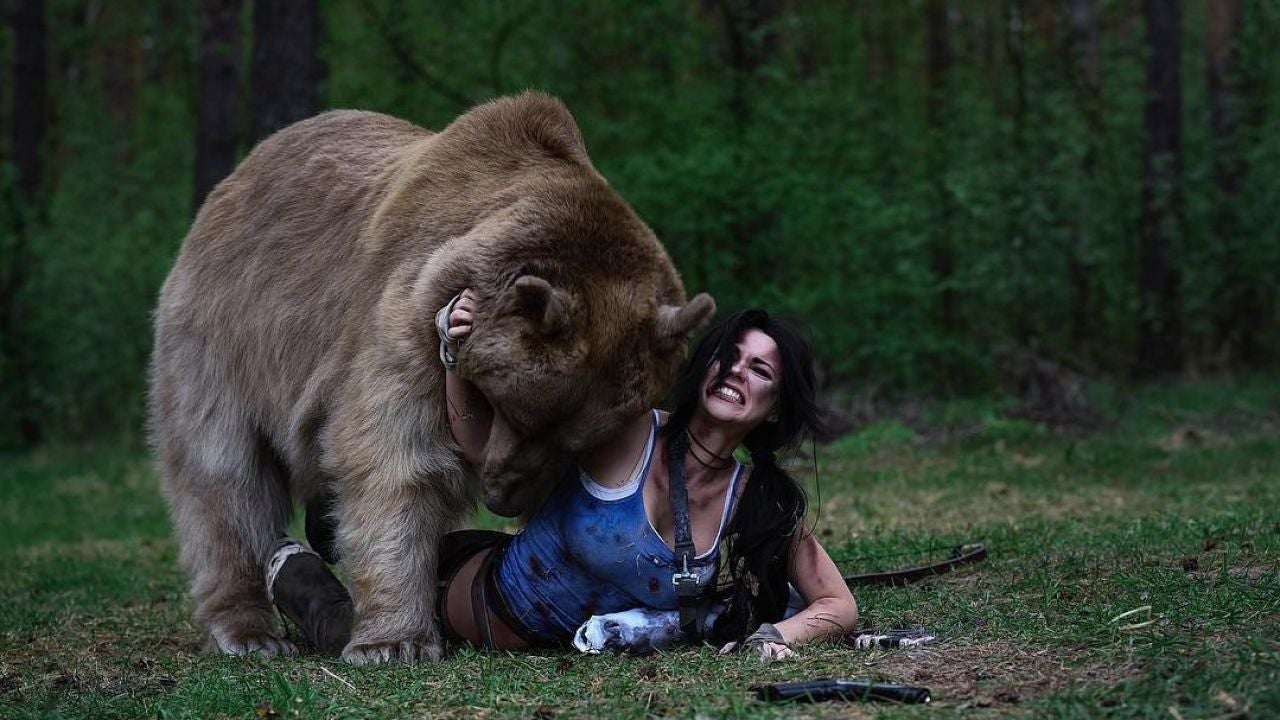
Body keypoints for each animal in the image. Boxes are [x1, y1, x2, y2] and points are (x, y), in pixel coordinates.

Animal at [150, 92, 714, 663]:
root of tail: (234, 179)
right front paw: (394, 641)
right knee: (224, 477)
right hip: (220, 335)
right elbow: (394, 459)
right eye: (514, 411)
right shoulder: (404, 312)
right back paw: (247, 630)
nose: (504, 497)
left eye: (580, 443)